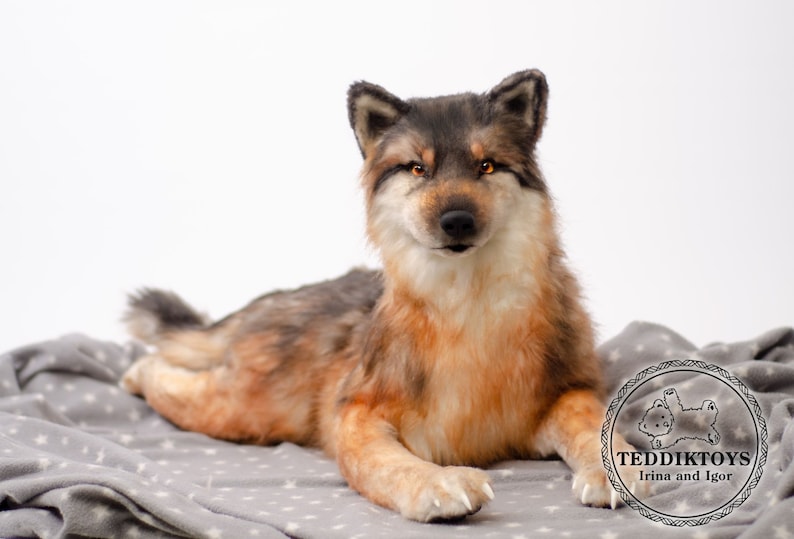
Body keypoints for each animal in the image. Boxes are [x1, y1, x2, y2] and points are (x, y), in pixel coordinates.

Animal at [122, 70, 640, 521]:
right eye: (418, 168)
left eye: (486, 165)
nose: (457, 221)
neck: (465, 304)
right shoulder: (356, 413)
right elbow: (385, 462)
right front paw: (436, 484)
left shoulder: (567, 391)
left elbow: (593, 423)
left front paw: (614, 470)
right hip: (247, 411)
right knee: (169, 377)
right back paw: (134, 374)